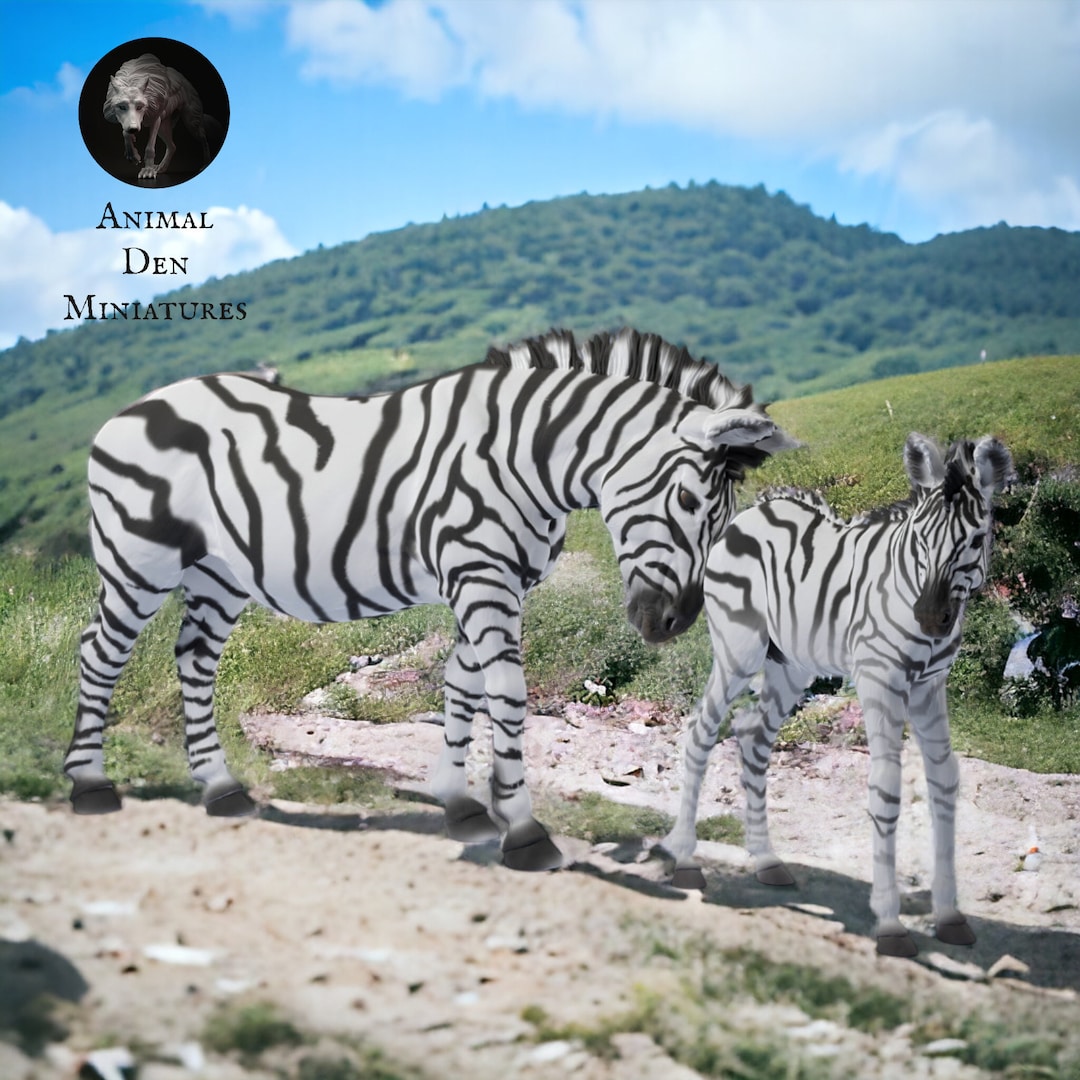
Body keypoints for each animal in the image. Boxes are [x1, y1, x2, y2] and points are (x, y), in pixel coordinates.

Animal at [65, 327, 796, 872]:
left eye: (721, 516)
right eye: (689, 500)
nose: (671, 623)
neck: (523, 458)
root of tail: (133, 409)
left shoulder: (495, 579)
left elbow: (461, 682)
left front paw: (462, 803)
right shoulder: (480, 573)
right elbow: (506, 691)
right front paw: (523, 829)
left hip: (218, 572)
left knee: (194, 659)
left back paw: (220, 789)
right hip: (138, 558)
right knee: (99, 655)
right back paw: (90, 785)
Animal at [660, 432, 1012, 956]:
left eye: (974, 539)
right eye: (920, 539)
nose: (930, 617)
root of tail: (751, 513)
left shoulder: (930, 687)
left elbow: (945, 780)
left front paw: (950, 916)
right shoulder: (879, 678)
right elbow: (886, 788)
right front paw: (890, 924)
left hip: (791, 666)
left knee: (753, 737)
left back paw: (766, 861)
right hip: (739, 651)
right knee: (700, 729)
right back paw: (685, 861)